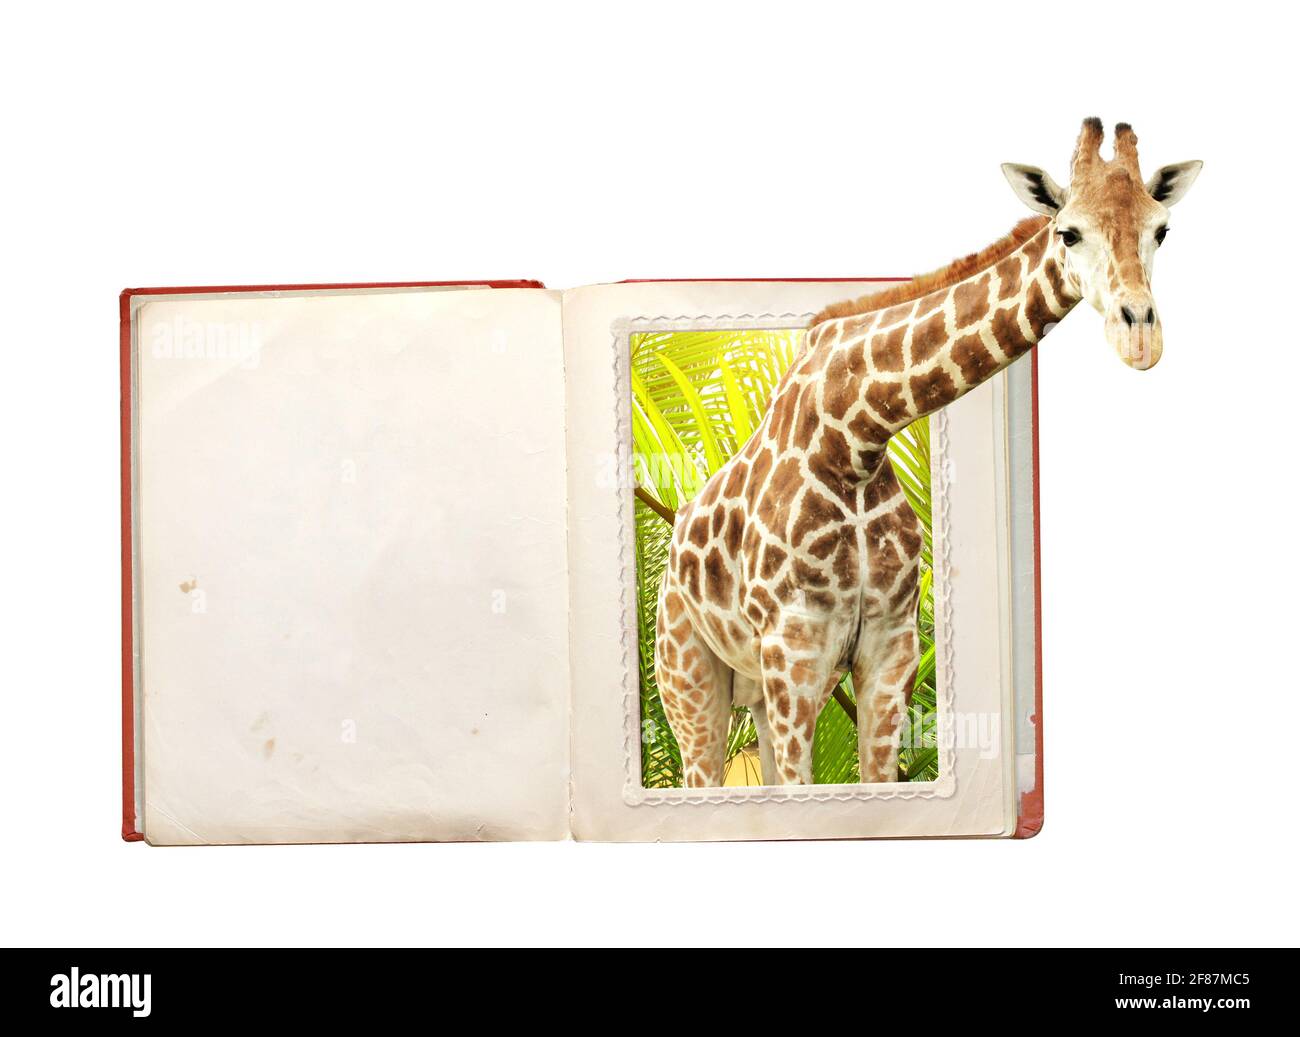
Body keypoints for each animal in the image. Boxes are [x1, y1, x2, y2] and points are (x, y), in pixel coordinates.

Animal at [652, 119, 1201, 787]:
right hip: (690, 680)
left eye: (1161, 229)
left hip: (756, 688)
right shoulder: (793, 646)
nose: (1140, 338)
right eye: (1068, 231)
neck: (854, 438)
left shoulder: (890, 648)